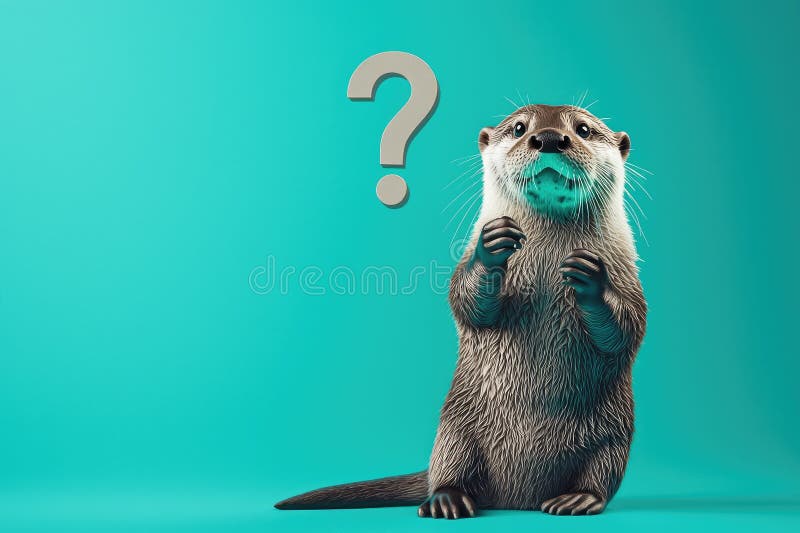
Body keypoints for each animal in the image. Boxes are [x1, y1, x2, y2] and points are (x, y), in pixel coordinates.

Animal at [275, 104, 647, 518]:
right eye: (520, 128)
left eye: (583, 129)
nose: (550, 138)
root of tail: (519, 497)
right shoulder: (463, 267)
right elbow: (465, 303)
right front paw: (493, 246)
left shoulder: (629, 276)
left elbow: (629, 326)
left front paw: (590, 275)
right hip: (456, 430)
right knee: (452, 469)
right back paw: (447, 498)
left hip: (612, 438)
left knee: (601, 474)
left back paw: (578, 498)